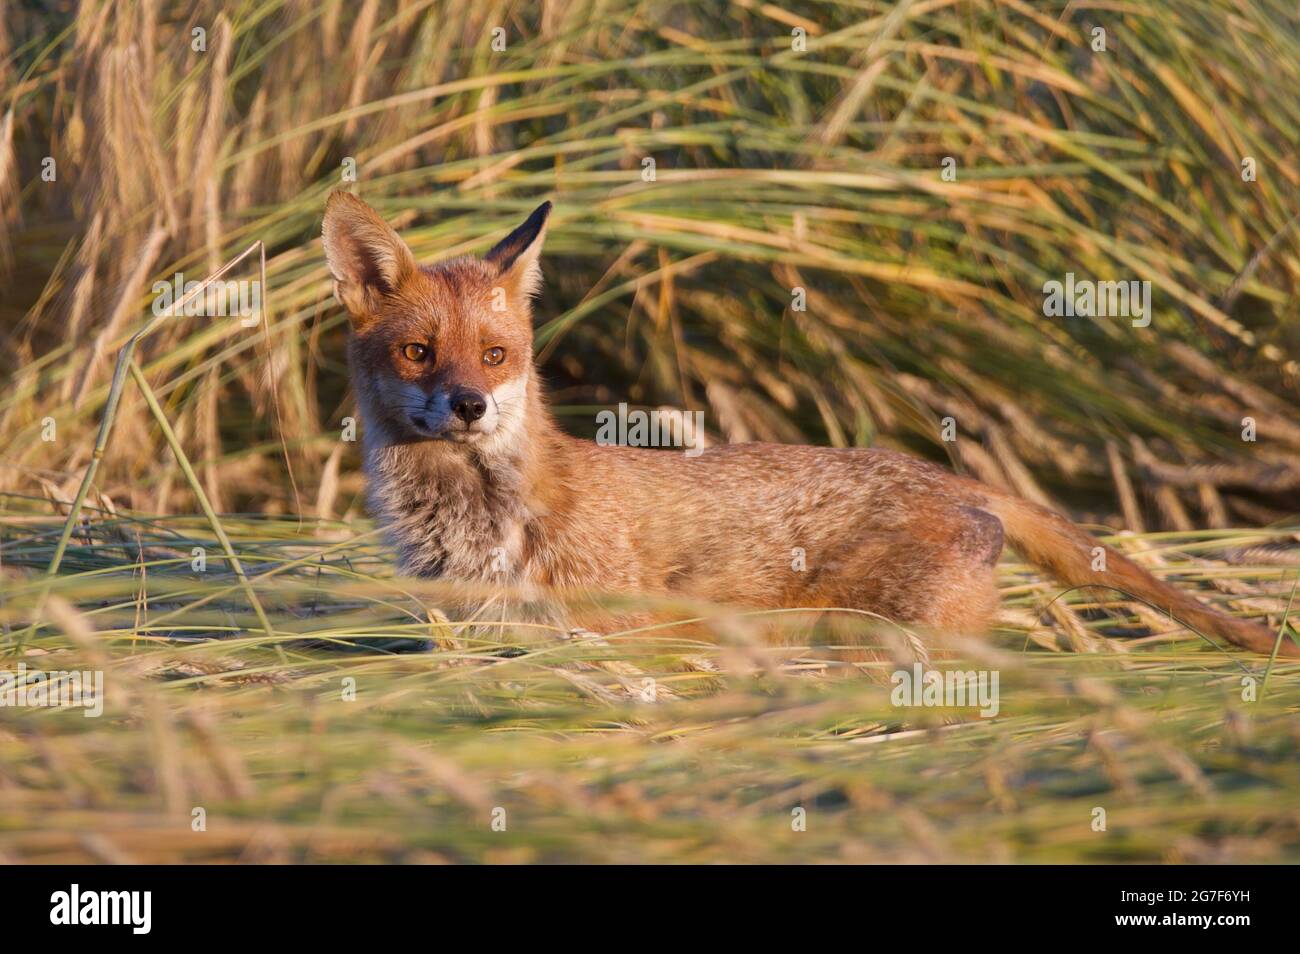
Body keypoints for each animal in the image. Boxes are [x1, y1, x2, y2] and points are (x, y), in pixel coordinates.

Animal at [322, 191, 1296, 658]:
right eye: (418, 353)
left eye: (495, 355)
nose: (470, 406)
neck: (478, 527)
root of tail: (943, 474)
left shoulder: (618, 630)